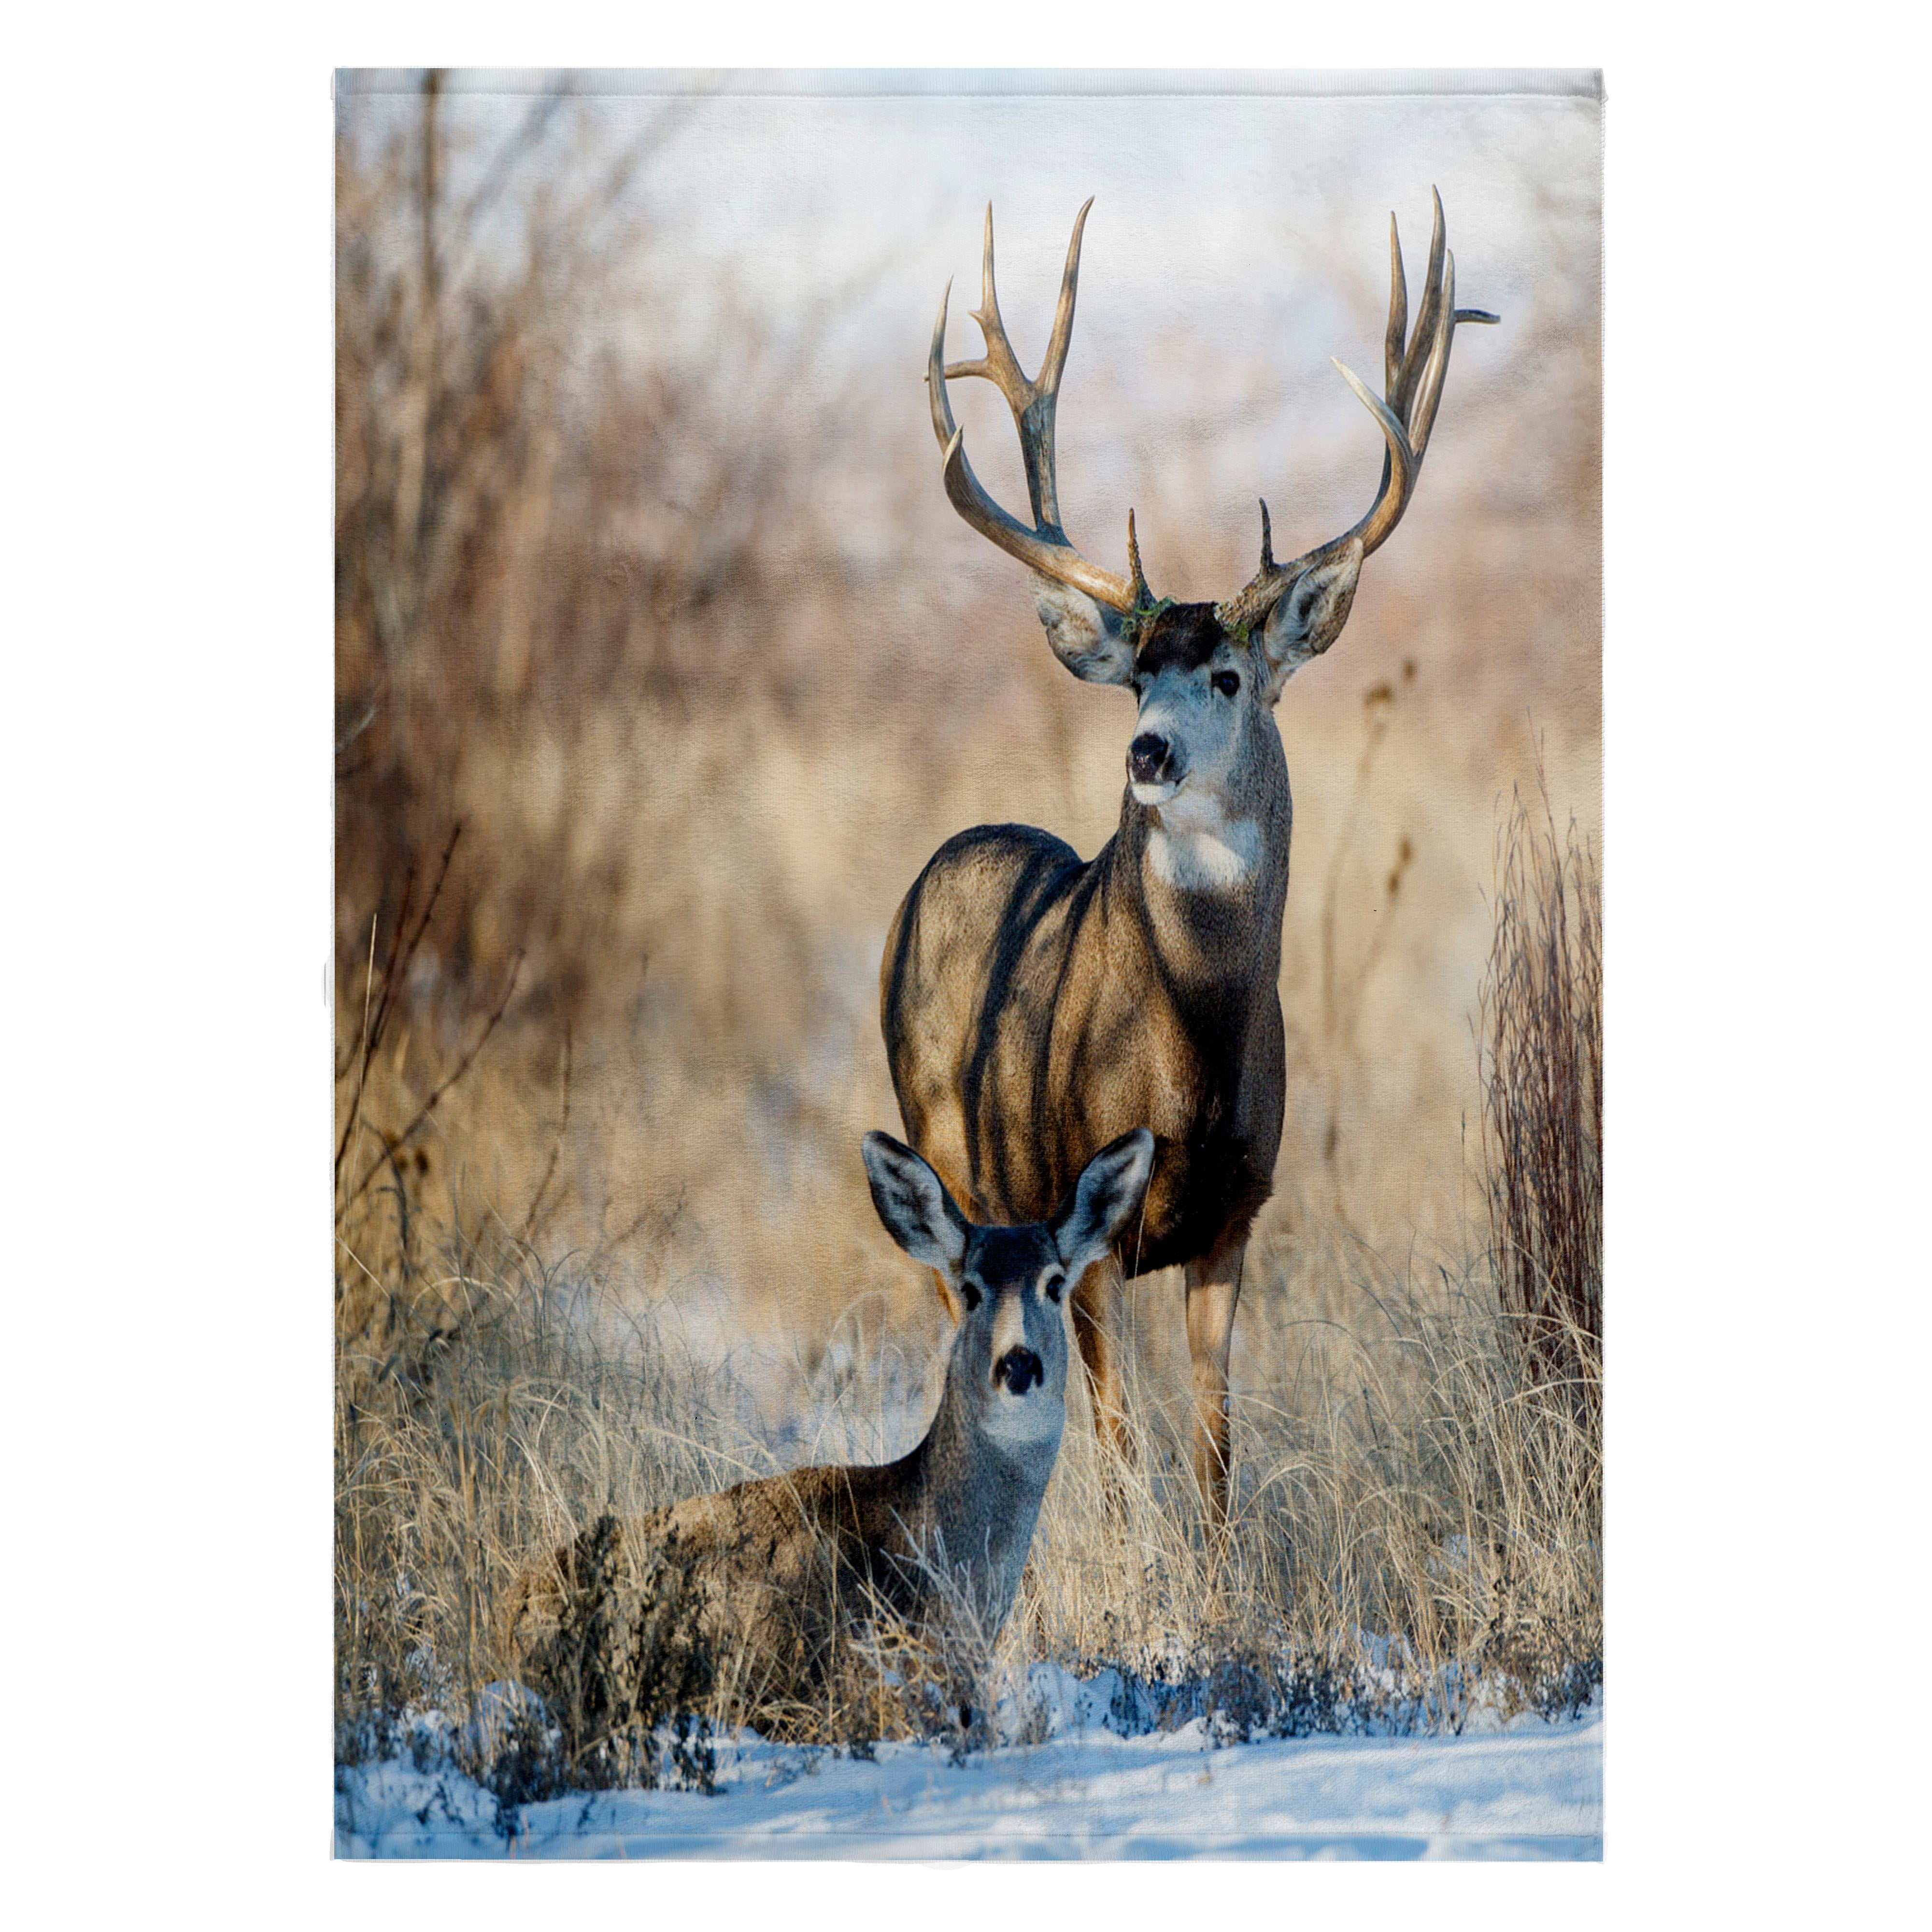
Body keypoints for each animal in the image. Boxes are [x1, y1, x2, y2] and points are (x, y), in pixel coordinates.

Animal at [880, 191, 1496, 1531]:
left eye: (1224, 674)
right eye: (1135, 677)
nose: (1146, 750)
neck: (1188, 1054)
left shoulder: (1234, 1216)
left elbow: (1215, 1453)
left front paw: (1213, 1568)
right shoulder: (1083, 1223)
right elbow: (1119, 1450)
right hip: (946, 1152)